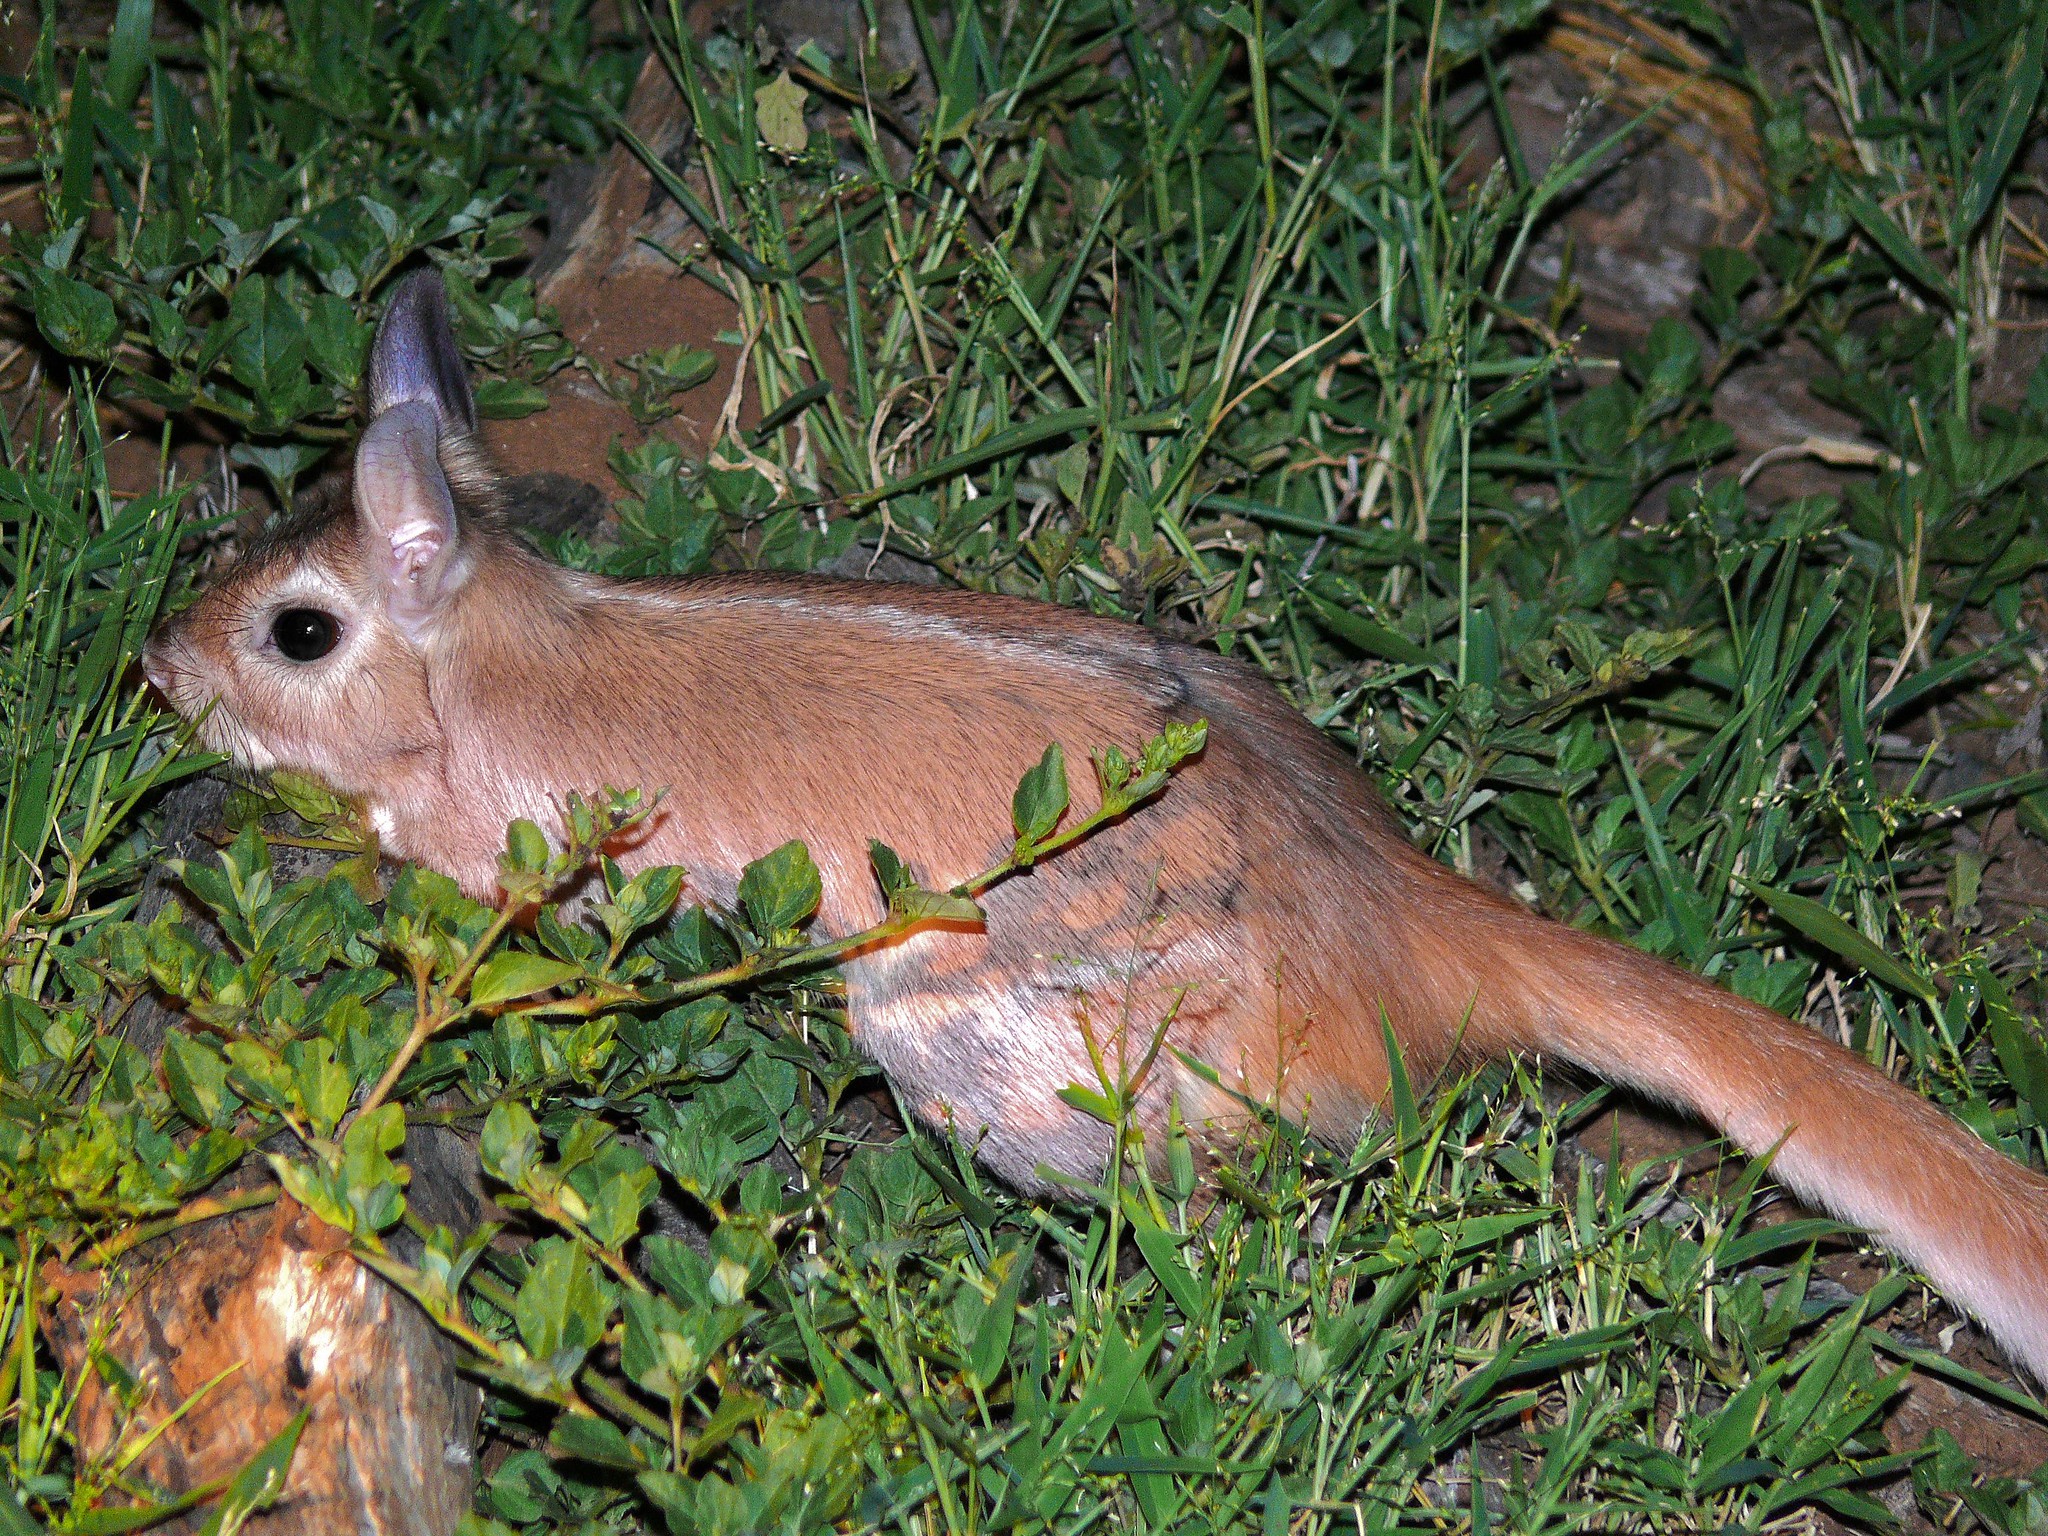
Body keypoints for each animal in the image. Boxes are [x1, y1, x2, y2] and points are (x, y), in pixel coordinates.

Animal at [143, 273, 2048, 1381]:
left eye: (295, 631)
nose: (156, 666)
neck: (497, 647)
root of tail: (1422, 921)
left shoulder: (526, 874)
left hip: (942, 1033)